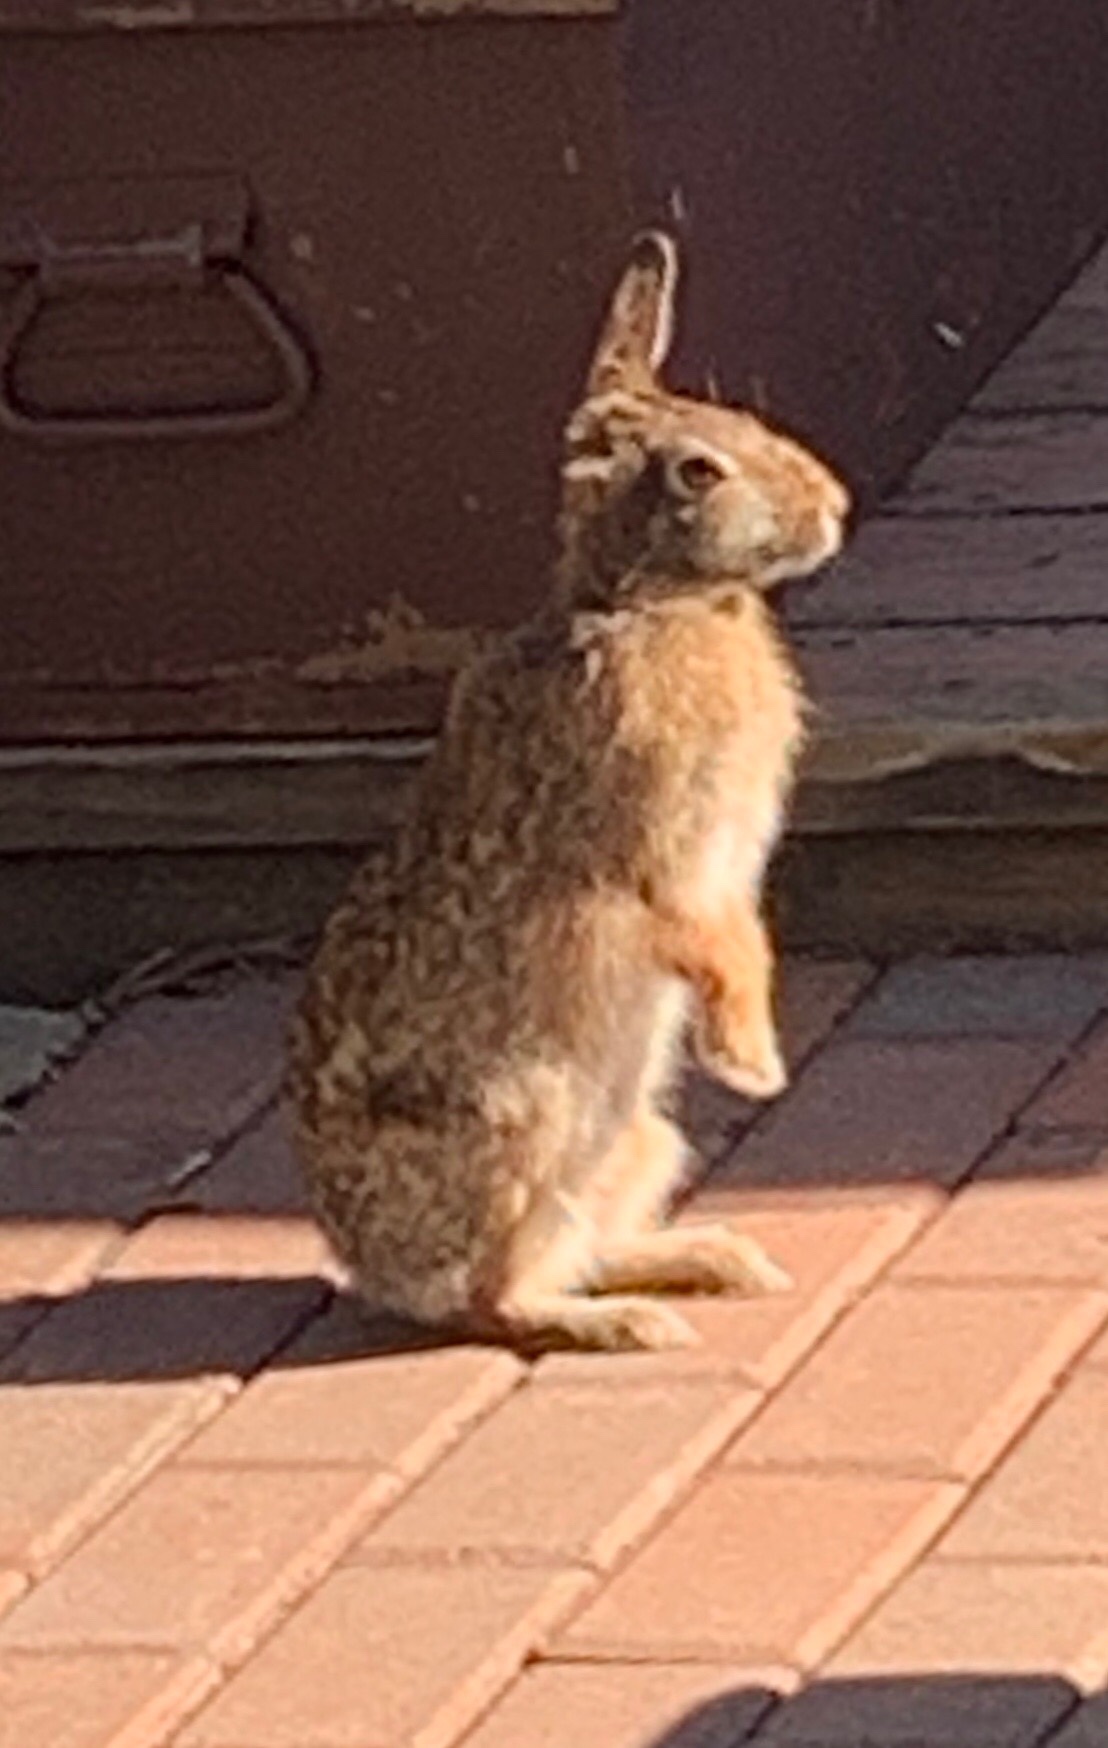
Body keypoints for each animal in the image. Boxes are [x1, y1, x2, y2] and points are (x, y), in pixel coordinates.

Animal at [286, 231, 851, 1354]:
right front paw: (752, 1065)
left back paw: (716, 1261)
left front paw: (754, 1059)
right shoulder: (659, 856)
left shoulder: (727, 874)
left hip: (636, 1134)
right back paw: (634, 1325)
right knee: (496, 1299)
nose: (832, 509)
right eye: (698, 471)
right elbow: (708, 942)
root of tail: (372, 1264)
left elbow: (748, 938)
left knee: (580, 1244)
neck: (649, 605)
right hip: (528, 1123)